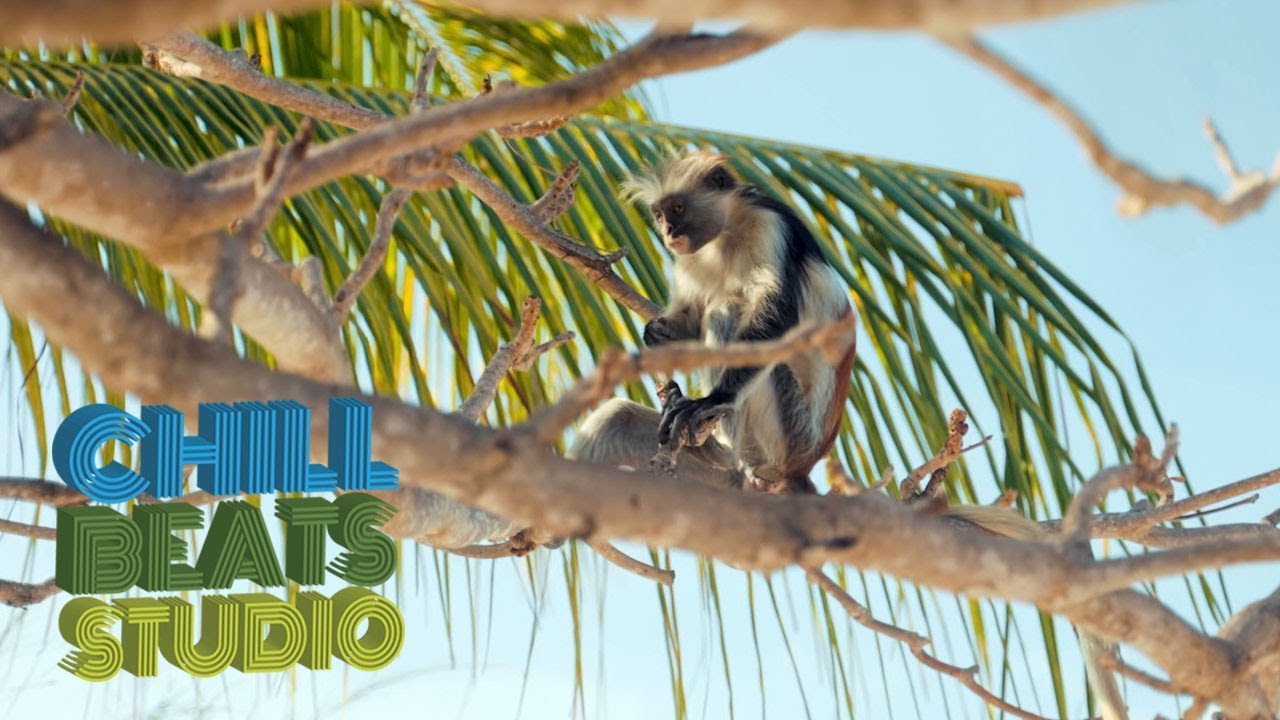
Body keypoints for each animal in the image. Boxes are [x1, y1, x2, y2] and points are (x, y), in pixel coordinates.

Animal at [568, 151, 856, 494]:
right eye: (659, 214)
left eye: (678, 209)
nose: (668, 232)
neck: (725, 235)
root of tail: (802, 466)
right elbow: (690, 320)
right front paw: (658, 333)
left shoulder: (773, 225)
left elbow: (778, 313)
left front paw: (715, 398)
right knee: (614, 418)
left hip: (788, 433)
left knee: (727, 310)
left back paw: (720, 441)